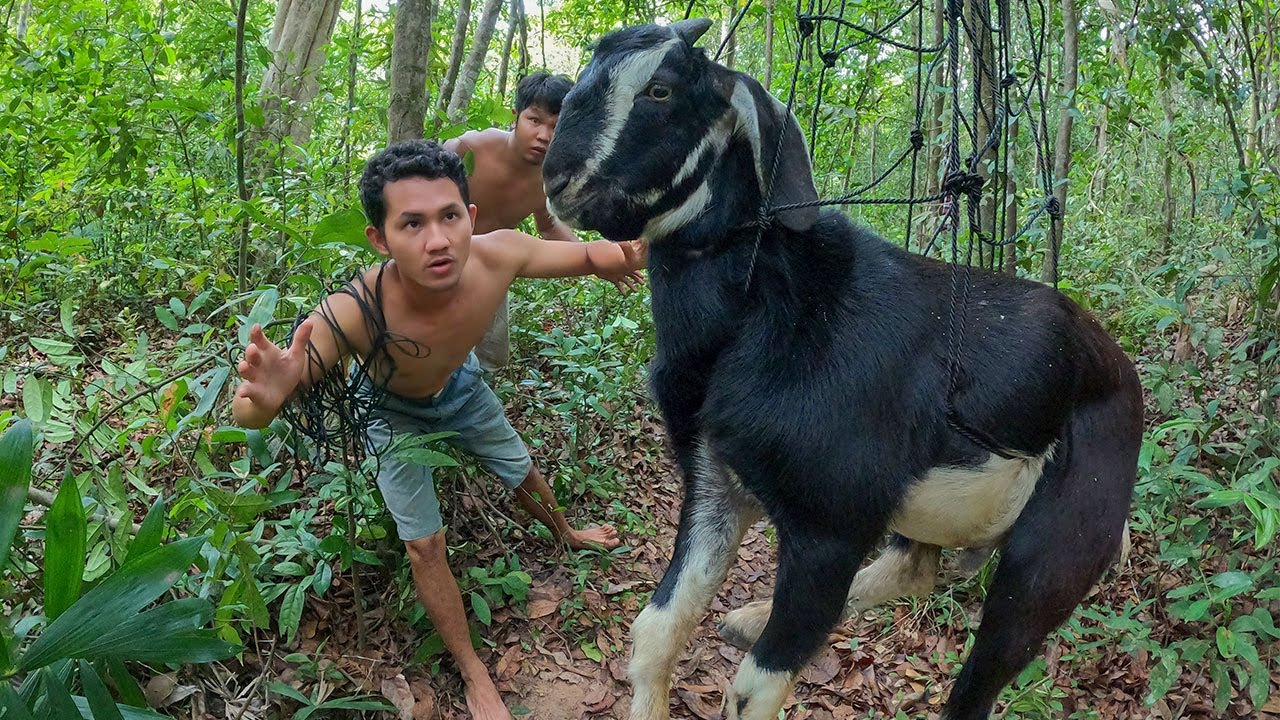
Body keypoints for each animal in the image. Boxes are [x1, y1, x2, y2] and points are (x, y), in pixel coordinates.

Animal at [542, 19, 1143, 720]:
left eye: (660, 89)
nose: (558, 181)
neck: (773, 312)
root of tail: (1119, 368)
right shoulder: (715, 475)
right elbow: (657, 631)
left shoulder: (831, 528)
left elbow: (753, 691)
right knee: (918, 568)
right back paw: (746, 616)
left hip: (1060, 542)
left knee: (986, 666)